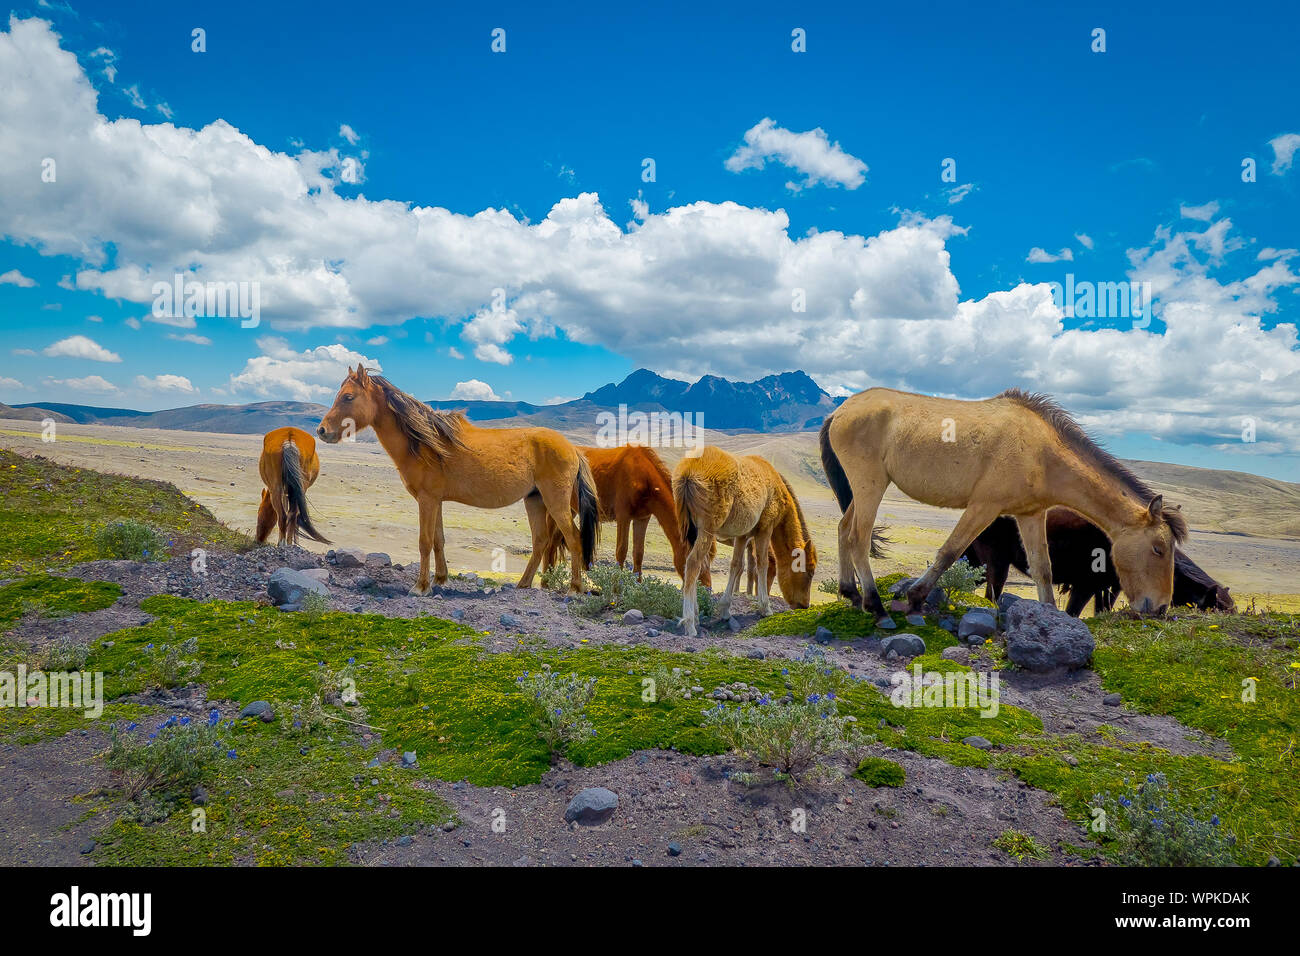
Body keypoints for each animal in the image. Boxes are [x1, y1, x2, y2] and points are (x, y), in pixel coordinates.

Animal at [316, 366, 598, 594]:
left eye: (348, 397)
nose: (322, 431)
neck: (424, 443)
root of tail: (572, 448)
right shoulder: (436, 501)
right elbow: (438, 540)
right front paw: (440, 579)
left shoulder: (427, 500)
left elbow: (424, 542)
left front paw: (420, 587)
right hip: (535, 500)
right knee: (540, 541)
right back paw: (523, 585)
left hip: (555, 501)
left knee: (573, 539)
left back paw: (575, 589)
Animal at [540, 444, 705, 584]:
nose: (706, 589)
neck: (643, 478)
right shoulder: (623, 517)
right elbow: (621, 550)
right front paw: (617, 587)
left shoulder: (642, 519)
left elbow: (638, 553)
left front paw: (638, 585)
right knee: (549, 544)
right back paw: (545, 582)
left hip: (572, 510)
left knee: (555, 541)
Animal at [671, 446, 817, 637]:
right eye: (810, 571)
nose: (804, 605)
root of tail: (688, 472)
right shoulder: (765, 529)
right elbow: (762, 564)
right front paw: (765, 608)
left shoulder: (742, 536)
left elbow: (737, 565)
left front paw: (725, 609)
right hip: (707, 530)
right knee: (694, 563)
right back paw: (689, 623)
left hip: (692, 532)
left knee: (693, 565)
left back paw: (695, 616)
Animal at [821, 387, 1187, 616]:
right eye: (1158, 549)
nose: (1160, 607)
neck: (1042, 454)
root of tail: (838, 412)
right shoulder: (984, 507)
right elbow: (949, 552)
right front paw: (915, 597)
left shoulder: (1031, 515)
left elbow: (1042, 568)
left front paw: (1050, 615)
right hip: (870, 486)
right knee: (858, 537)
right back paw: (875, 605)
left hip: (863, 490)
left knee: (843, 530)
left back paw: (851, 593)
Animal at [965, 511, 1234, 615]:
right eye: (1217, 608)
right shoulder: (1085, 586)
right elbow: (1073, 612)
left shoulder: (1108, 589)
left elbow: (1102, 609)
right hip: (997, 564)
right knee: (991, 595)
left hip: (977, 563)